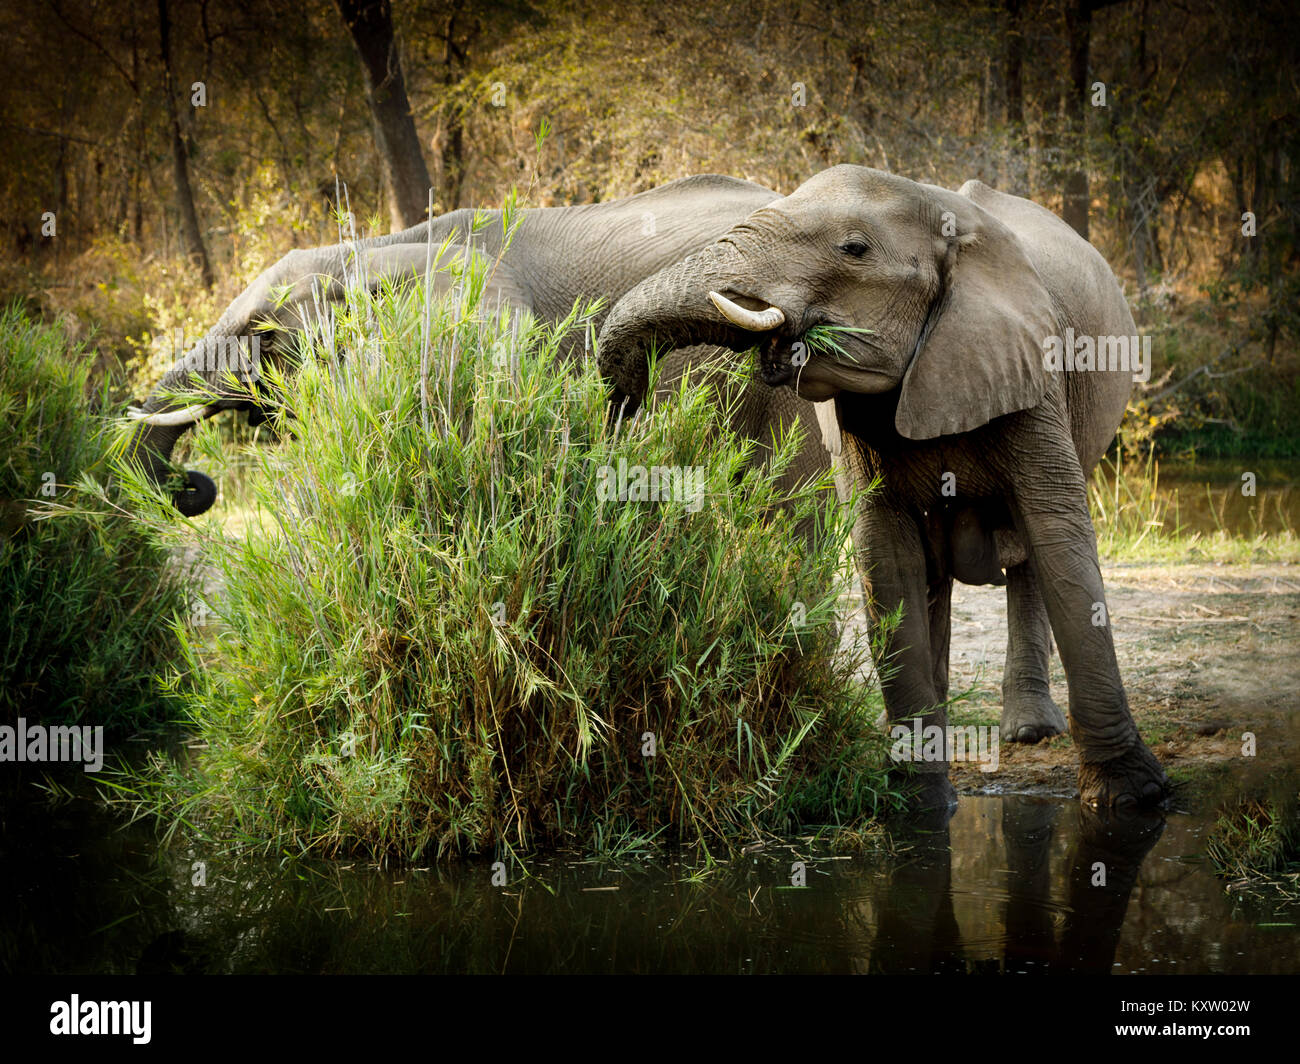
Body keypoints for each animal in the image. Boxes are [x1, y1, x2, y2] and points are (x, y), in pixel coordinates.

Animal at [596, 164, 1171, 810]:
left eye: (854, 249)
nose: (626, 404)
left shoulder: (1032, 371)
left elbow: (1060, 542)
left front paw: (1132, 796)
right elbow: (888, 560)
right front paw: (919, 806)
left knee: (1026, 558)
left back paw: (1028, 731)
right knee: (935, 572)